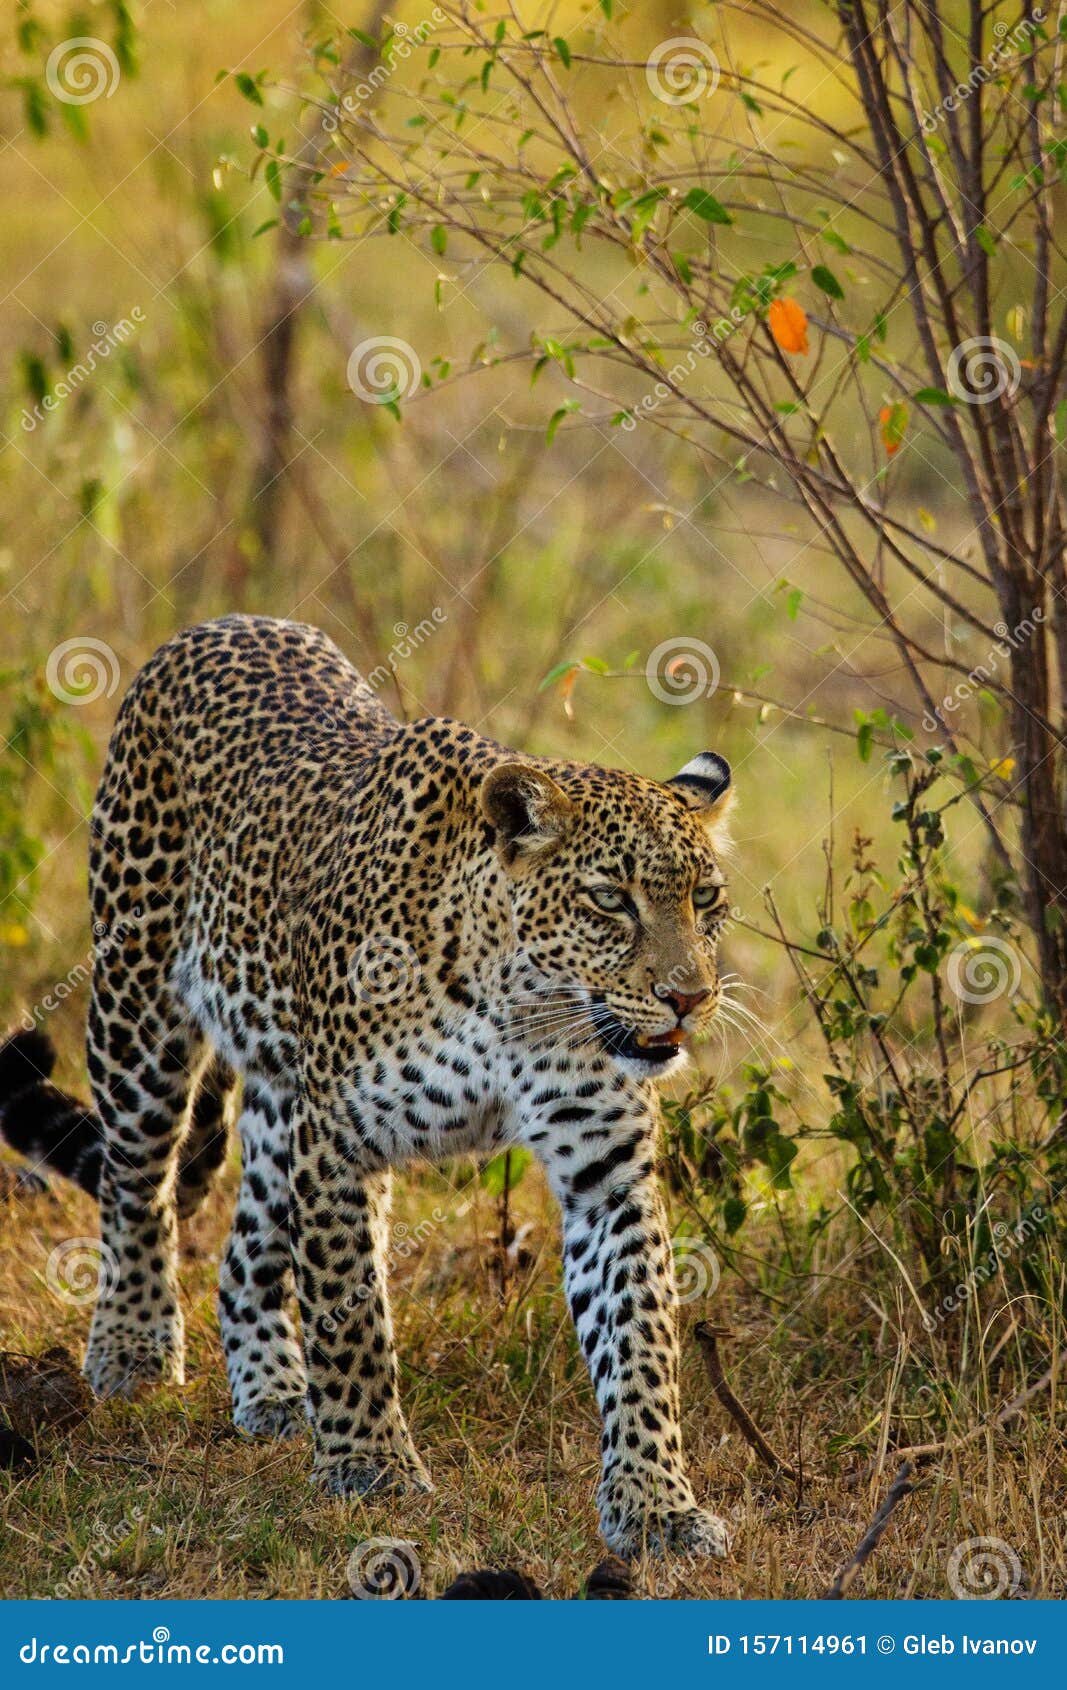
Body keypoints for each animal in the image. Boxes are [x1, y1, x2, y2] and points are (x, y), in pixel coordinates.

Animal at [0, 613, 738, 1559]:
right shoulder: (337, 1141)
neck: (515, 1002)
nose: (690, 996)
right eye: (609, 899)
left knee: (245, 1251)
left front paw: (655, 1505)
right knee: (138, 1185)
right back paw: (132, 1347)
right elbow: (348, 1315)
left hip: (277, 1091)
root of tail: (223, 624)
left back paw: (275, 1391)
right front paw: (369, 1465)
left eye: (706, 897)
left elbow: (639, 1339)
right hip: (138, 1014)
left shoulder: (605, 1170)